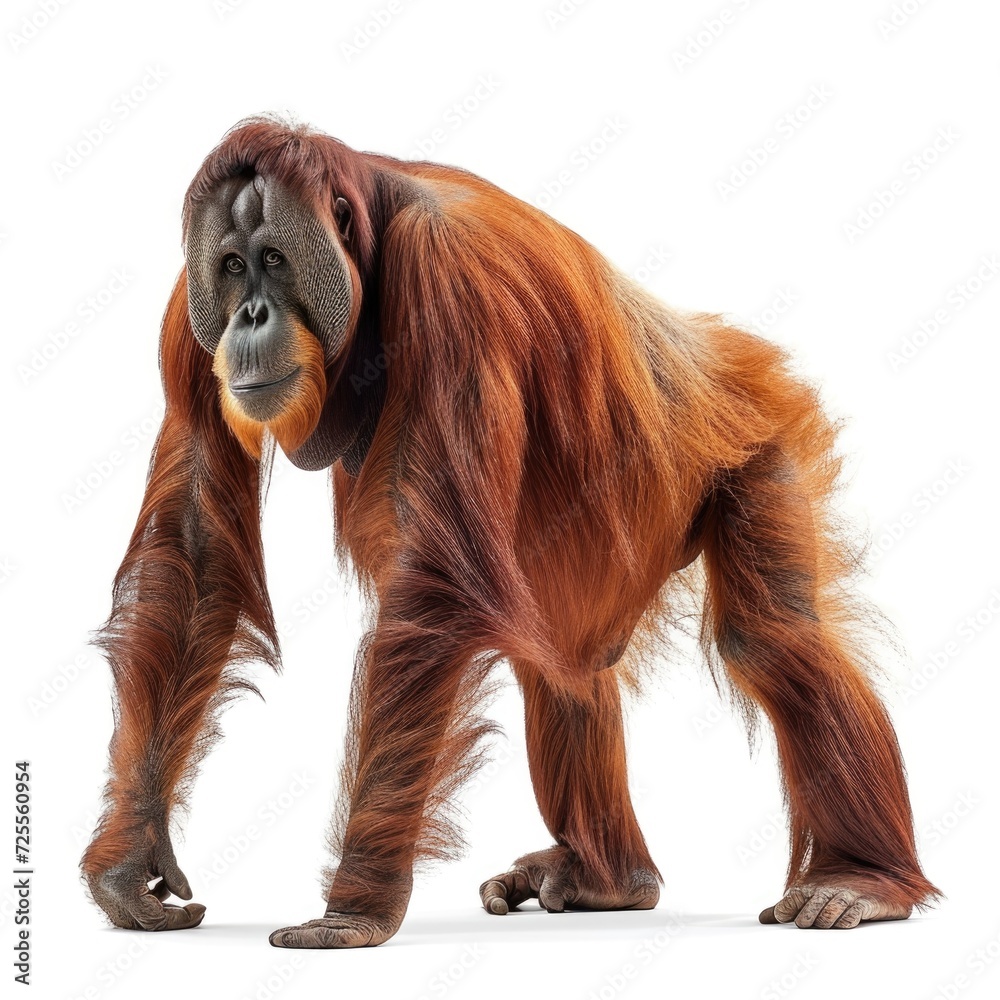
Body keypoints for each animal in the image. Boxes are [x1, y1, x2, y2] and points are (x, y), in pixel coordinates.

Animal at [81, 117, 938, 947]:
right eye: (229, 268)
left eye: (273, 259)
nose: (250, 315)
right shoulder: (185, 315)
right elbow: (196, 544)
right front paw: (129, 863)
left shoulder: (448, 279)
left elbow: (434, 590)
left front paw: (354, 905)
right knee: (563, 662)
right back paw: (607, 880)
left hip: (761, 440)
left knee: (772, 638)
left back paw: (862, 881)